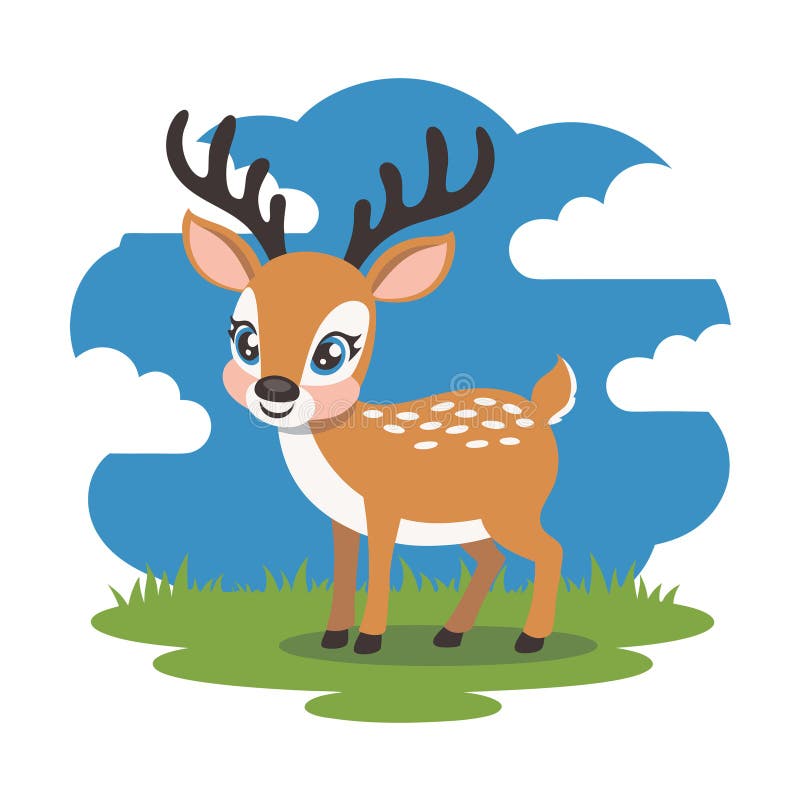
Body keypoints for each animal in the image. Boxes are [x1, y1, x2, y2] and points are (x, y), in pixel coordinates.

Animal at [166, 111, 576, 655]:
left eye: (333, 351)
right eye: (244, 337)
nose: (276, 390)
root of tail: (543, 408)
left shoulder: (385, 506)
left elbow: (379, 567)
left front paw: (369, 640)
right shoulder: (341, 520)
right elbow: (344, 570)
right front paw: (333, 636)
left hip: (515, 507)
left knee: (551, 550)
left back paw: (529, 640)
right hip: (471, 519)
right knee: (494, 558)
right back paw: (449, 635)